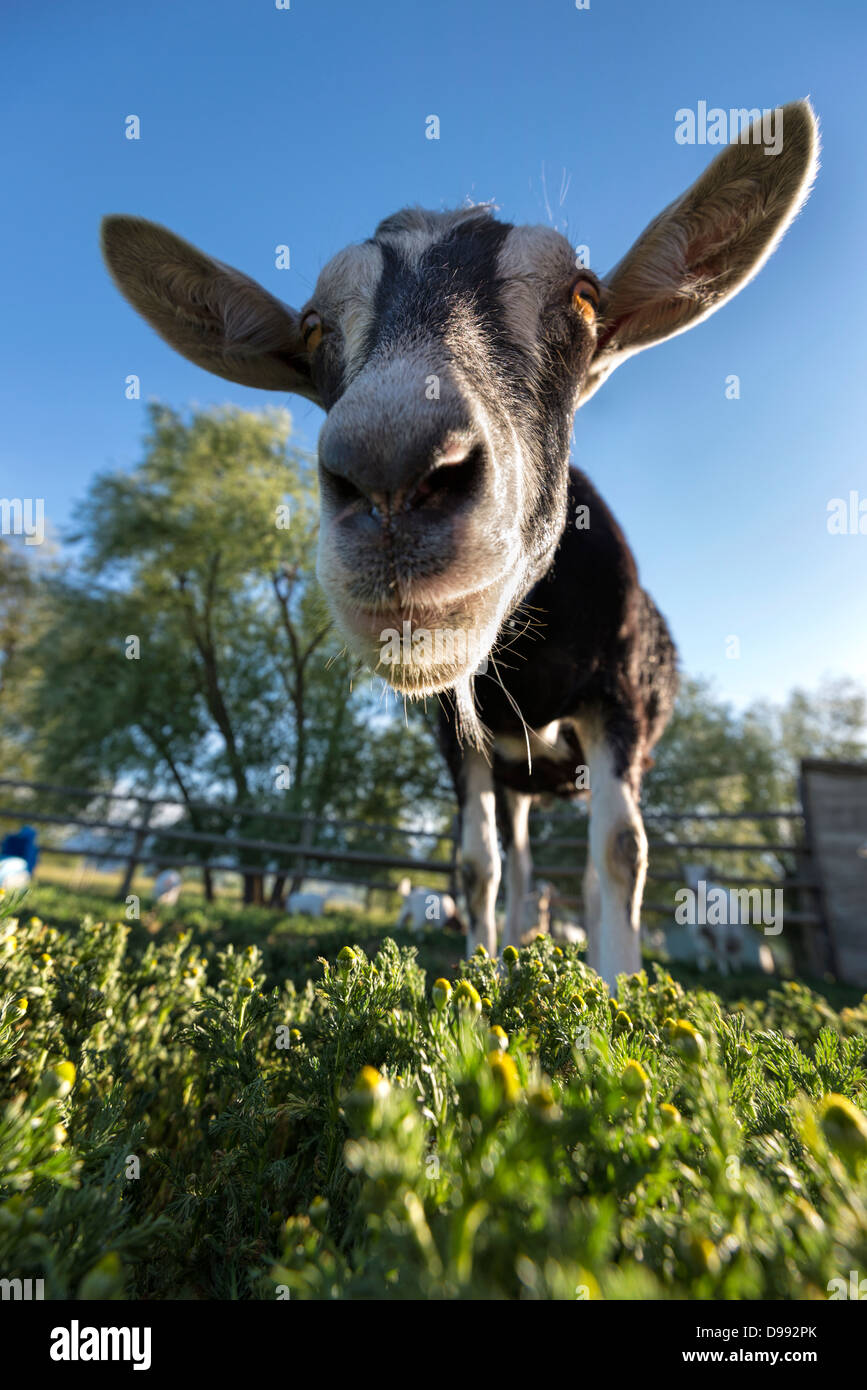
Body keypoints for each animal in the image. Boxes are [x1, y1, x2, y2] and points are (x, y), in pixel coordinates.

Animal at [100, 101, 818, 984]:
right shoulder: (458, 738)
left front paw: (619, 995)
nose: (389, 471)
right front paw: (478, 988)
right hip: (517, 777)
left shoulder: (619, 707)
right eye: (312, 329)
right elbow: (476, 867)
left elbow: (621, 852)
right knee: (519, 867)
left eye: (583, 297)